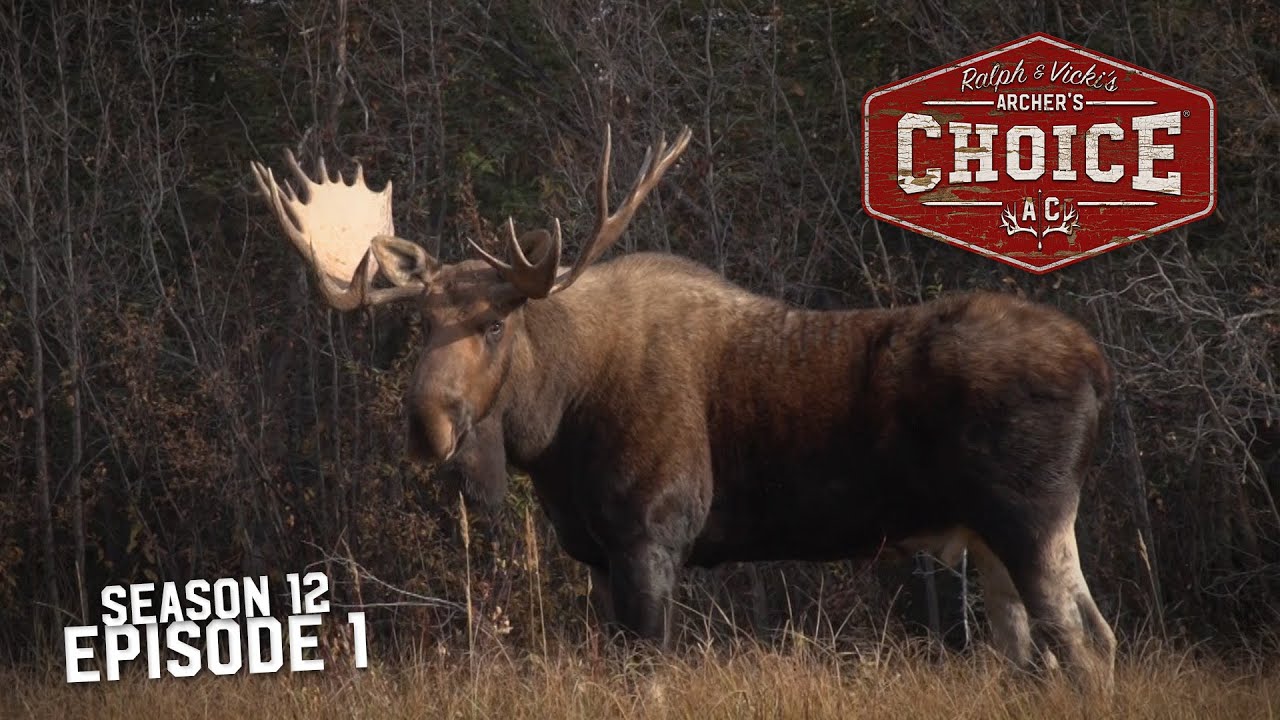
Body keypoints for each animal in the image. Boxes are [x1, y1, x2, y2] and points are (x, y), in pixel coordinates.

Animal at [250, 125, 1117, 691]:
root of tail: (1095, 362)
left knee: (1080, 645)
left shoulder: (652, 533)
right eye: (418, 325)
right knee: (1060, 648)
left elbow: (649, 679)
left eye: (493, 325)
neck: (555, 429)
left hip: (1026, 514)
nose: (427, 426)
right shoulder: (596, 554)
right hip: (1001, 532)